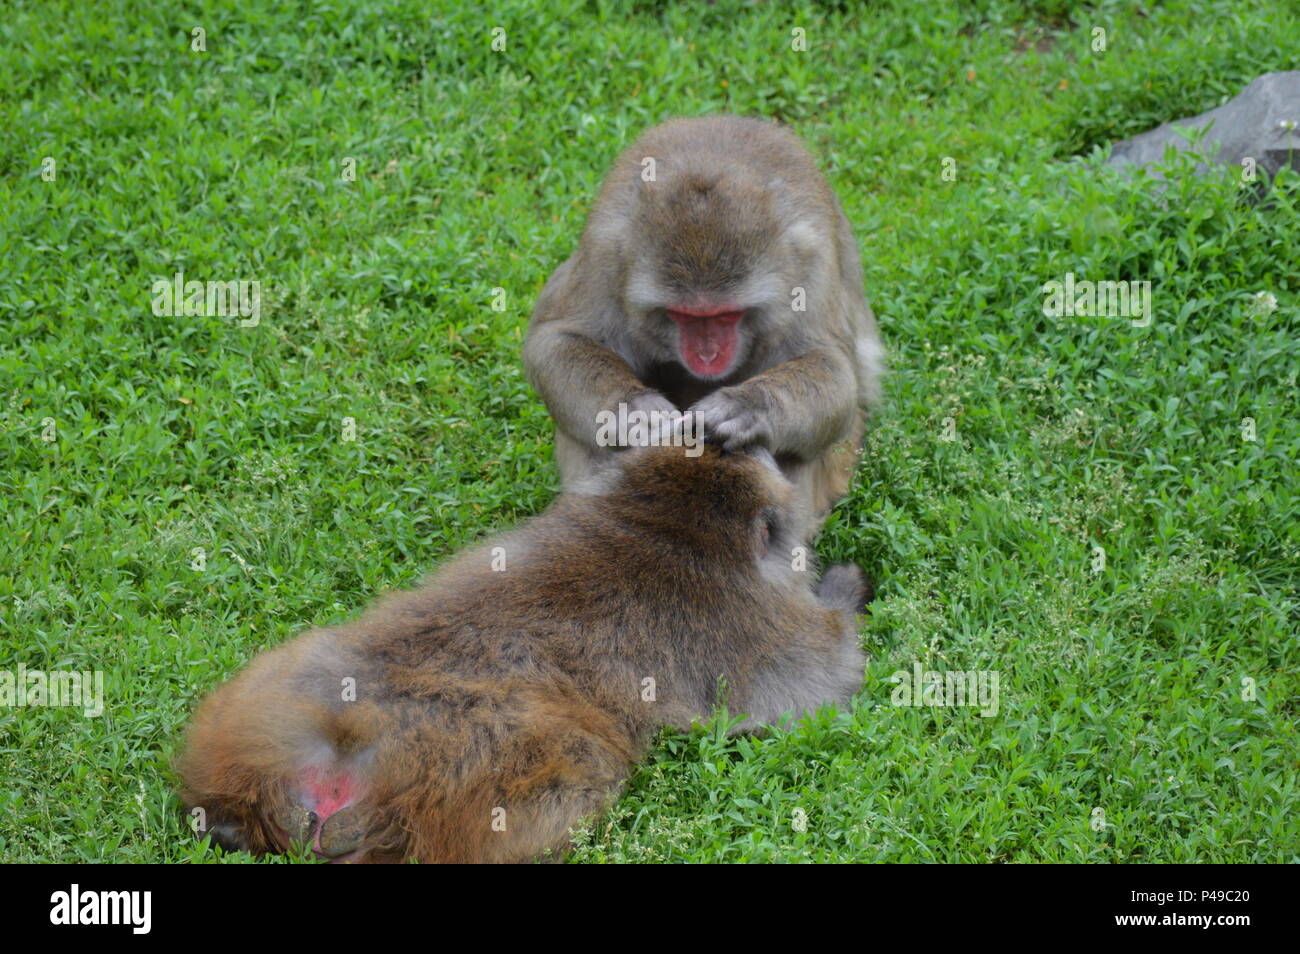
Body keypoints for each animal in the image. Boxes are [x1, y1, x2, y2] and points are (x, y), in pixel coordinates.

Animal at [176, 445, 868, 864]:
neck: (669, 526)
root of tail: (346, 749)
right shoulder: (755, 623)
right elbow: (815, 687)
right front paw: (848, 587)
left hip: (269, 691)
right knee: (581, 771)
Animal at [523, 114, 884, 535]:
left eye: (726, 315)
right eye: (685, 315)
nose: (707, 355)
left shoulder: (810, 262)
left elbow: (838, 373)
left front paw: (747, 407)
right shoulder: (607, 250)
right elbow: (556, 339)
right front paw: (634, 412)